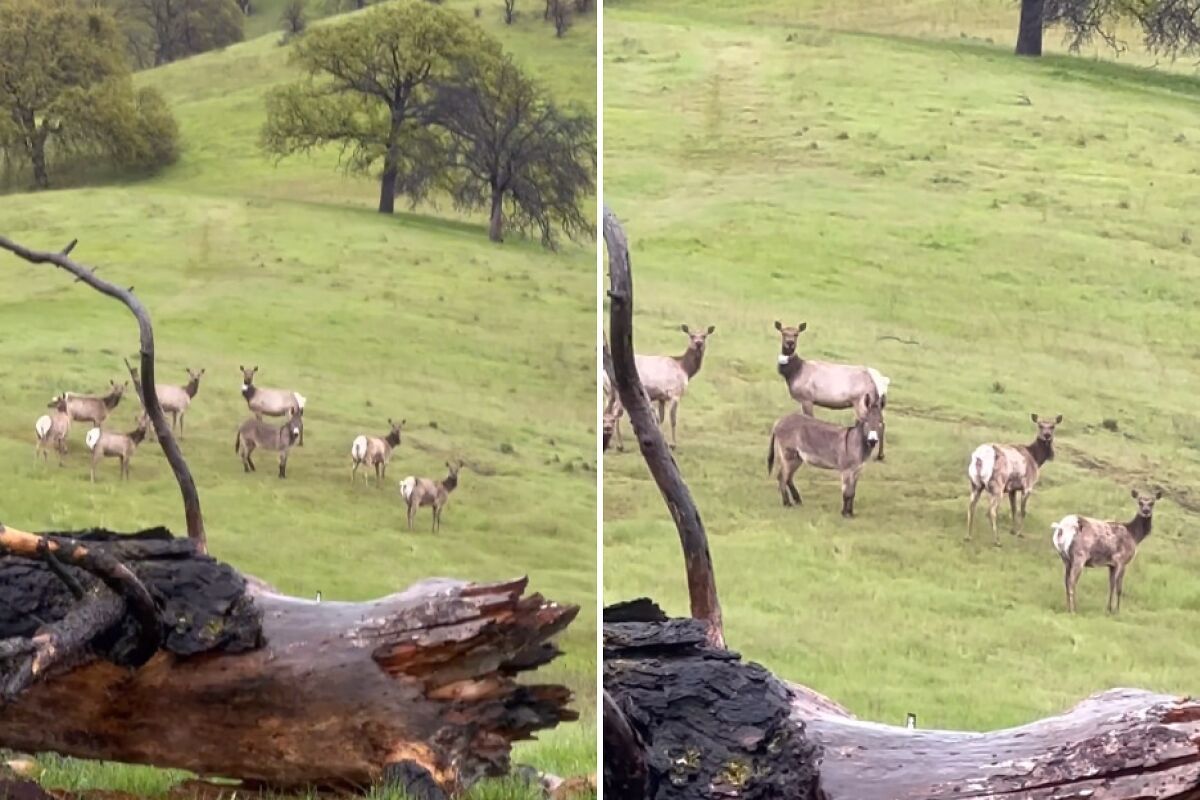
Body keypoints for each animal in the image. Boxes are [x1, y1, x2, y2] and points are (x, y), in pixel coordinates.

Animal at [774, 321, 890, 461]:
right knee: (880, 421)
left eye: (796, 334)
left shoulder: (807, 398)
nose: (790, 343)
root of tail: (882, 381)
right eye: (783, 332)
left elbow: (810, 418)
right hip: (874, 401)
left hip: (862, 400)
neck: (794, 373)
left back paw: (880, 454)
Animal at [967, 413, 1062, 546]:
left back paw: (968, 536)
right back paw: (997, 540)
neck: (1037, 459)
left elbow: (1013, 509)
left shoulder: (1012, 489)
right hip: (997, 486)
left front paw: (1013, 530)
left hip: (975, 484)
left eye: (1053, 426)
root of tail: (979, 457)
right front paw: (1020, 533)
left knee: (971, 506)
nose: (1047, 436)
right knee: (992, 510)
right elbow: (1023, 510)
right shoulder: (1027, 486)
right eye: (1040, 425)